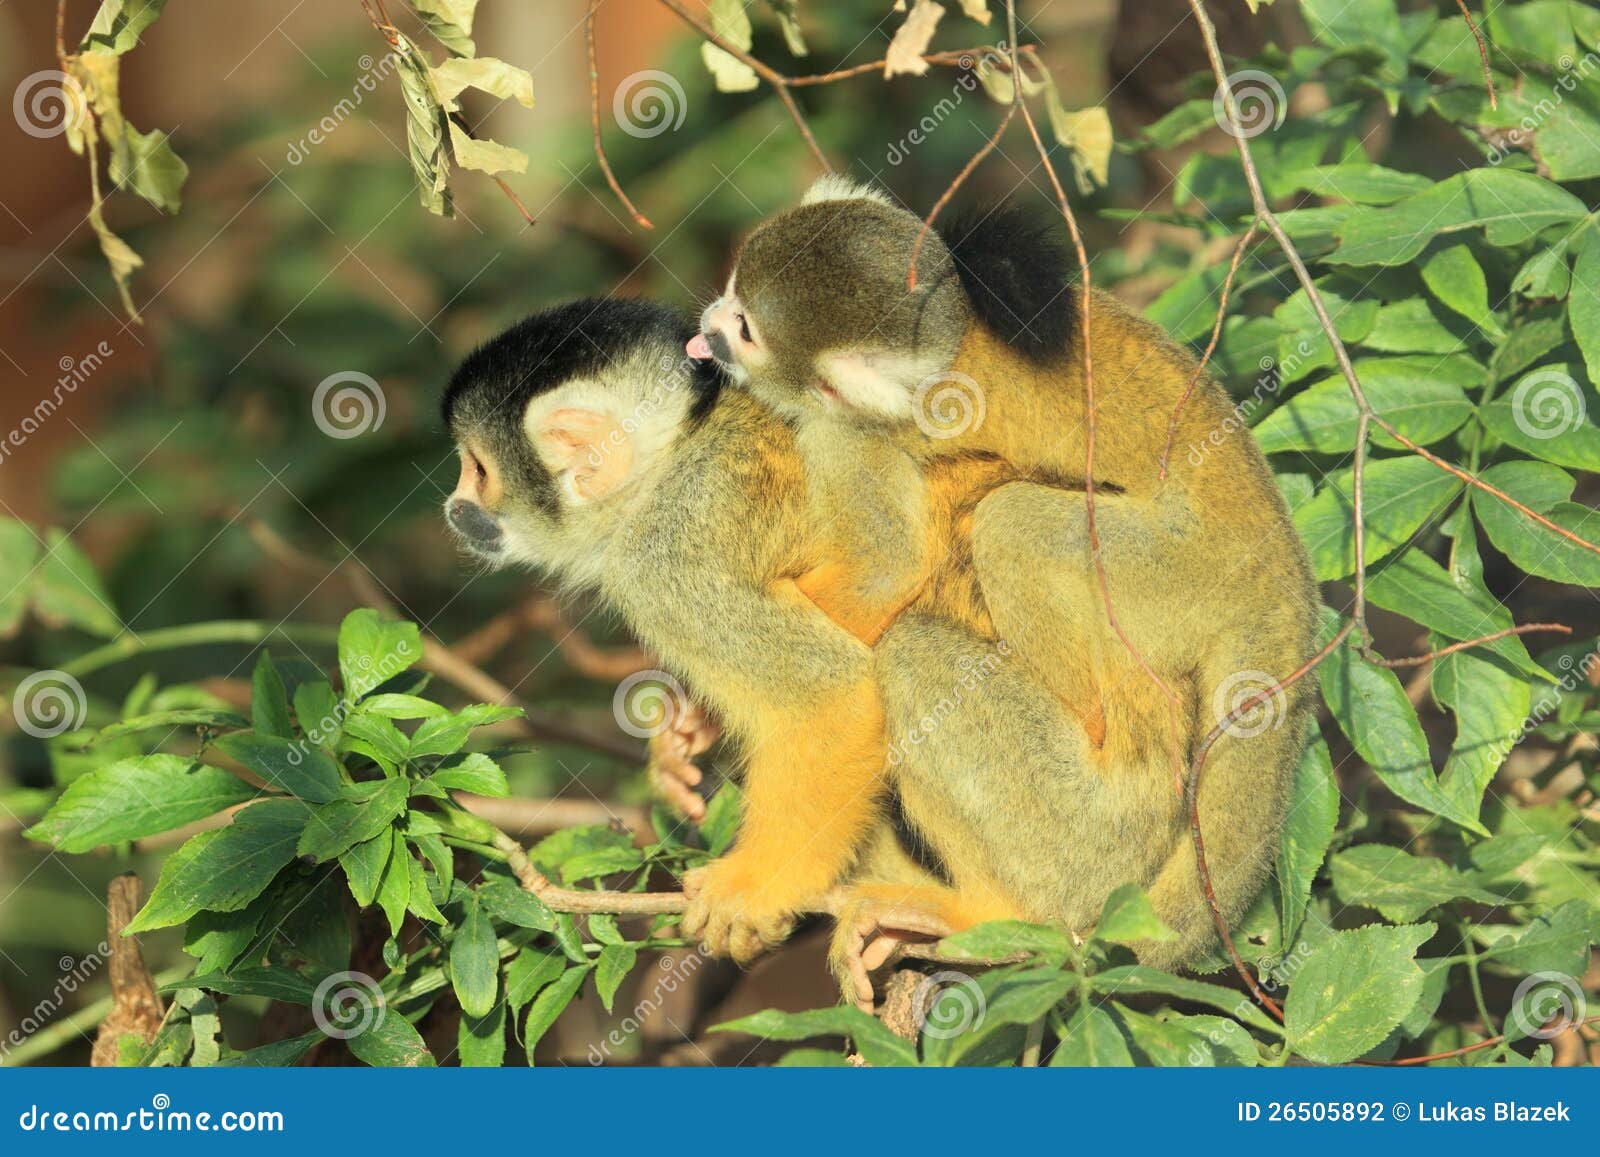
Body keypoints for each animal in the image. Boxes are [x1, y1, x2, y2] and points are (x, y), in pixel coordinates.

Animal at [694, 176, 1322, 975]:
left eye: (745, 327)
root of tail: (1283, 586)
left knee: (1012, 528)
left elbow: (885, 568)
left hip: (1180, 569)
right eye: (731, 291)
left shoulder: (847, 432)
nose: (708, 325)